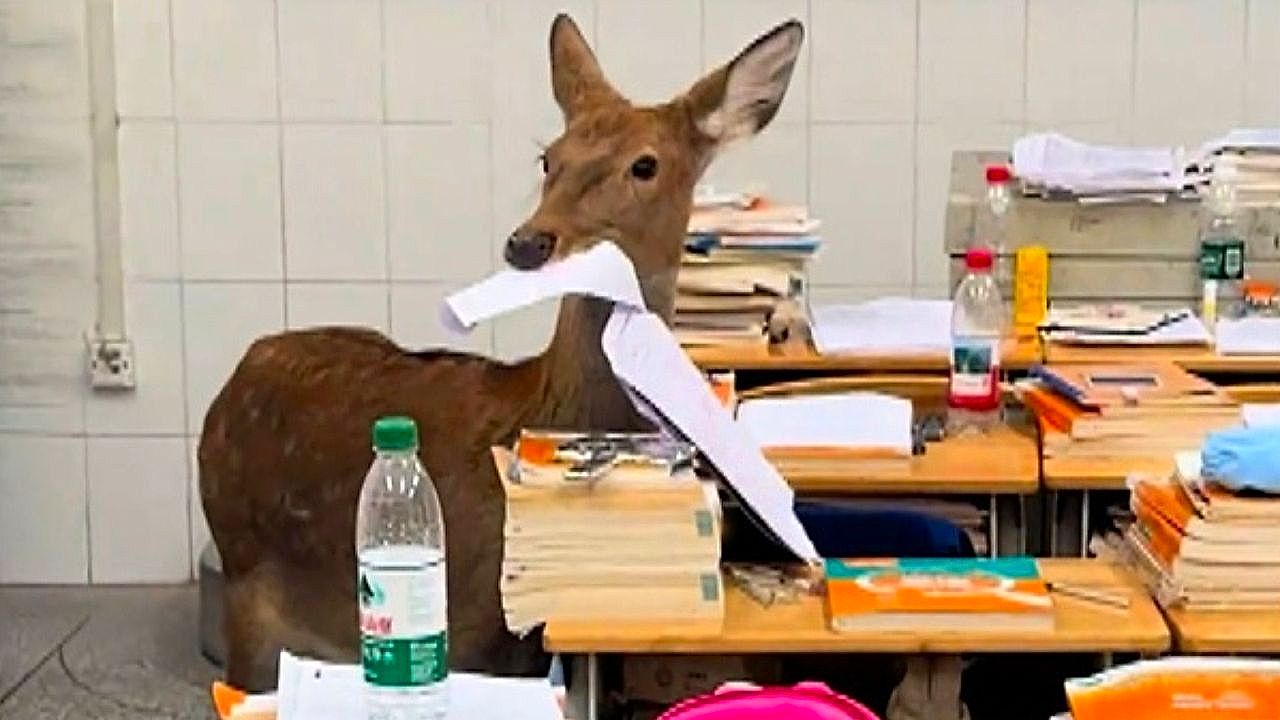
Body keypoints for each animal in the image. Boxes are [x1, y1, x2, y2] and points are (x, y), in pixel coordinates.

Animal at [198, 12, 805, 692]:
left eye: (646, 164)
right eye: (549, 158)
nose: (529, 242)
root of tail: (228, 390)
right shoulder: (469, 635)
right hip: (250, 604)